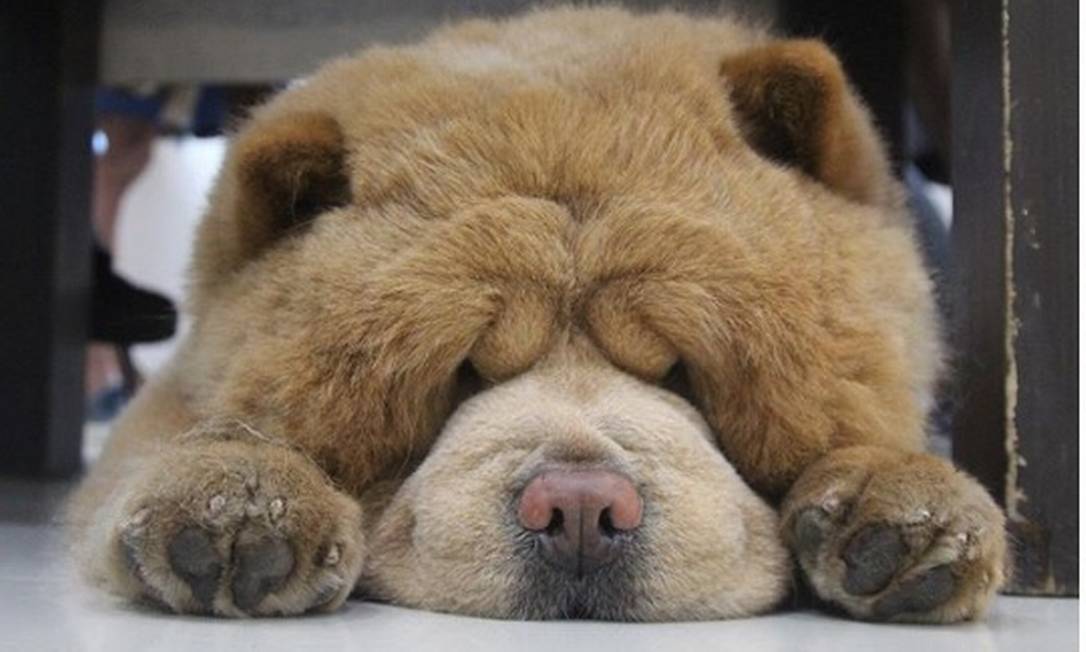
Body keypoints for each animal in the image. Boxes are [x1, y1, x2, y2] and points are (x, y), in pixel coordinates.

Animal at [66, 6, 1006, 623]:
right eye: (461, 374)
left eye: (681, 373)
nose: (582, 510)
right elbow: (152, 449)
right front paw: (235, 491)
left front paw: (903, 500)